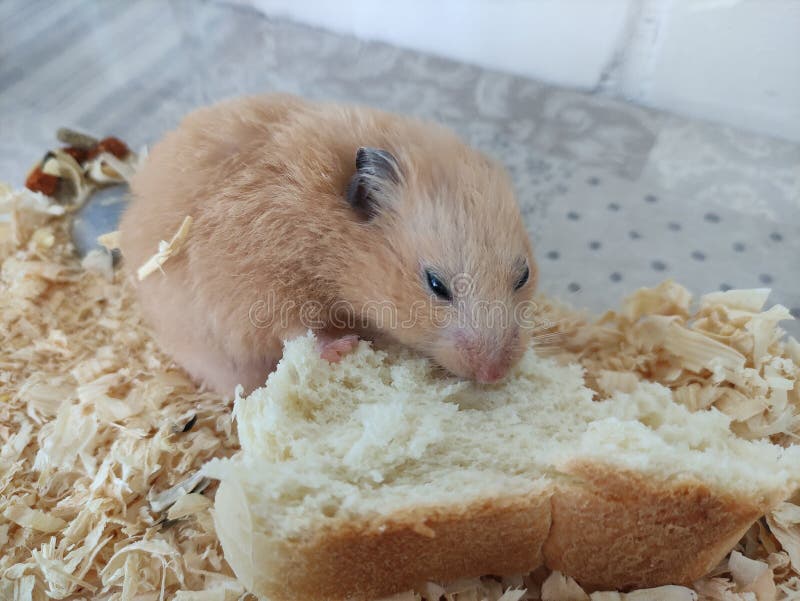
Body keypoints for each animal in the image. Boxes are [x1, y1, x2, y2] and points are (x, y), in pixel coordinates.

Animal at [119, 94, 537, 394]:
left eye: (524, 276)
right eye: (436, 285)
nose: (496, 373)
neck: (331, 242)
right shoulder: (257, 285)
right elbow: (295, 328)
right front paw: (343, 346)